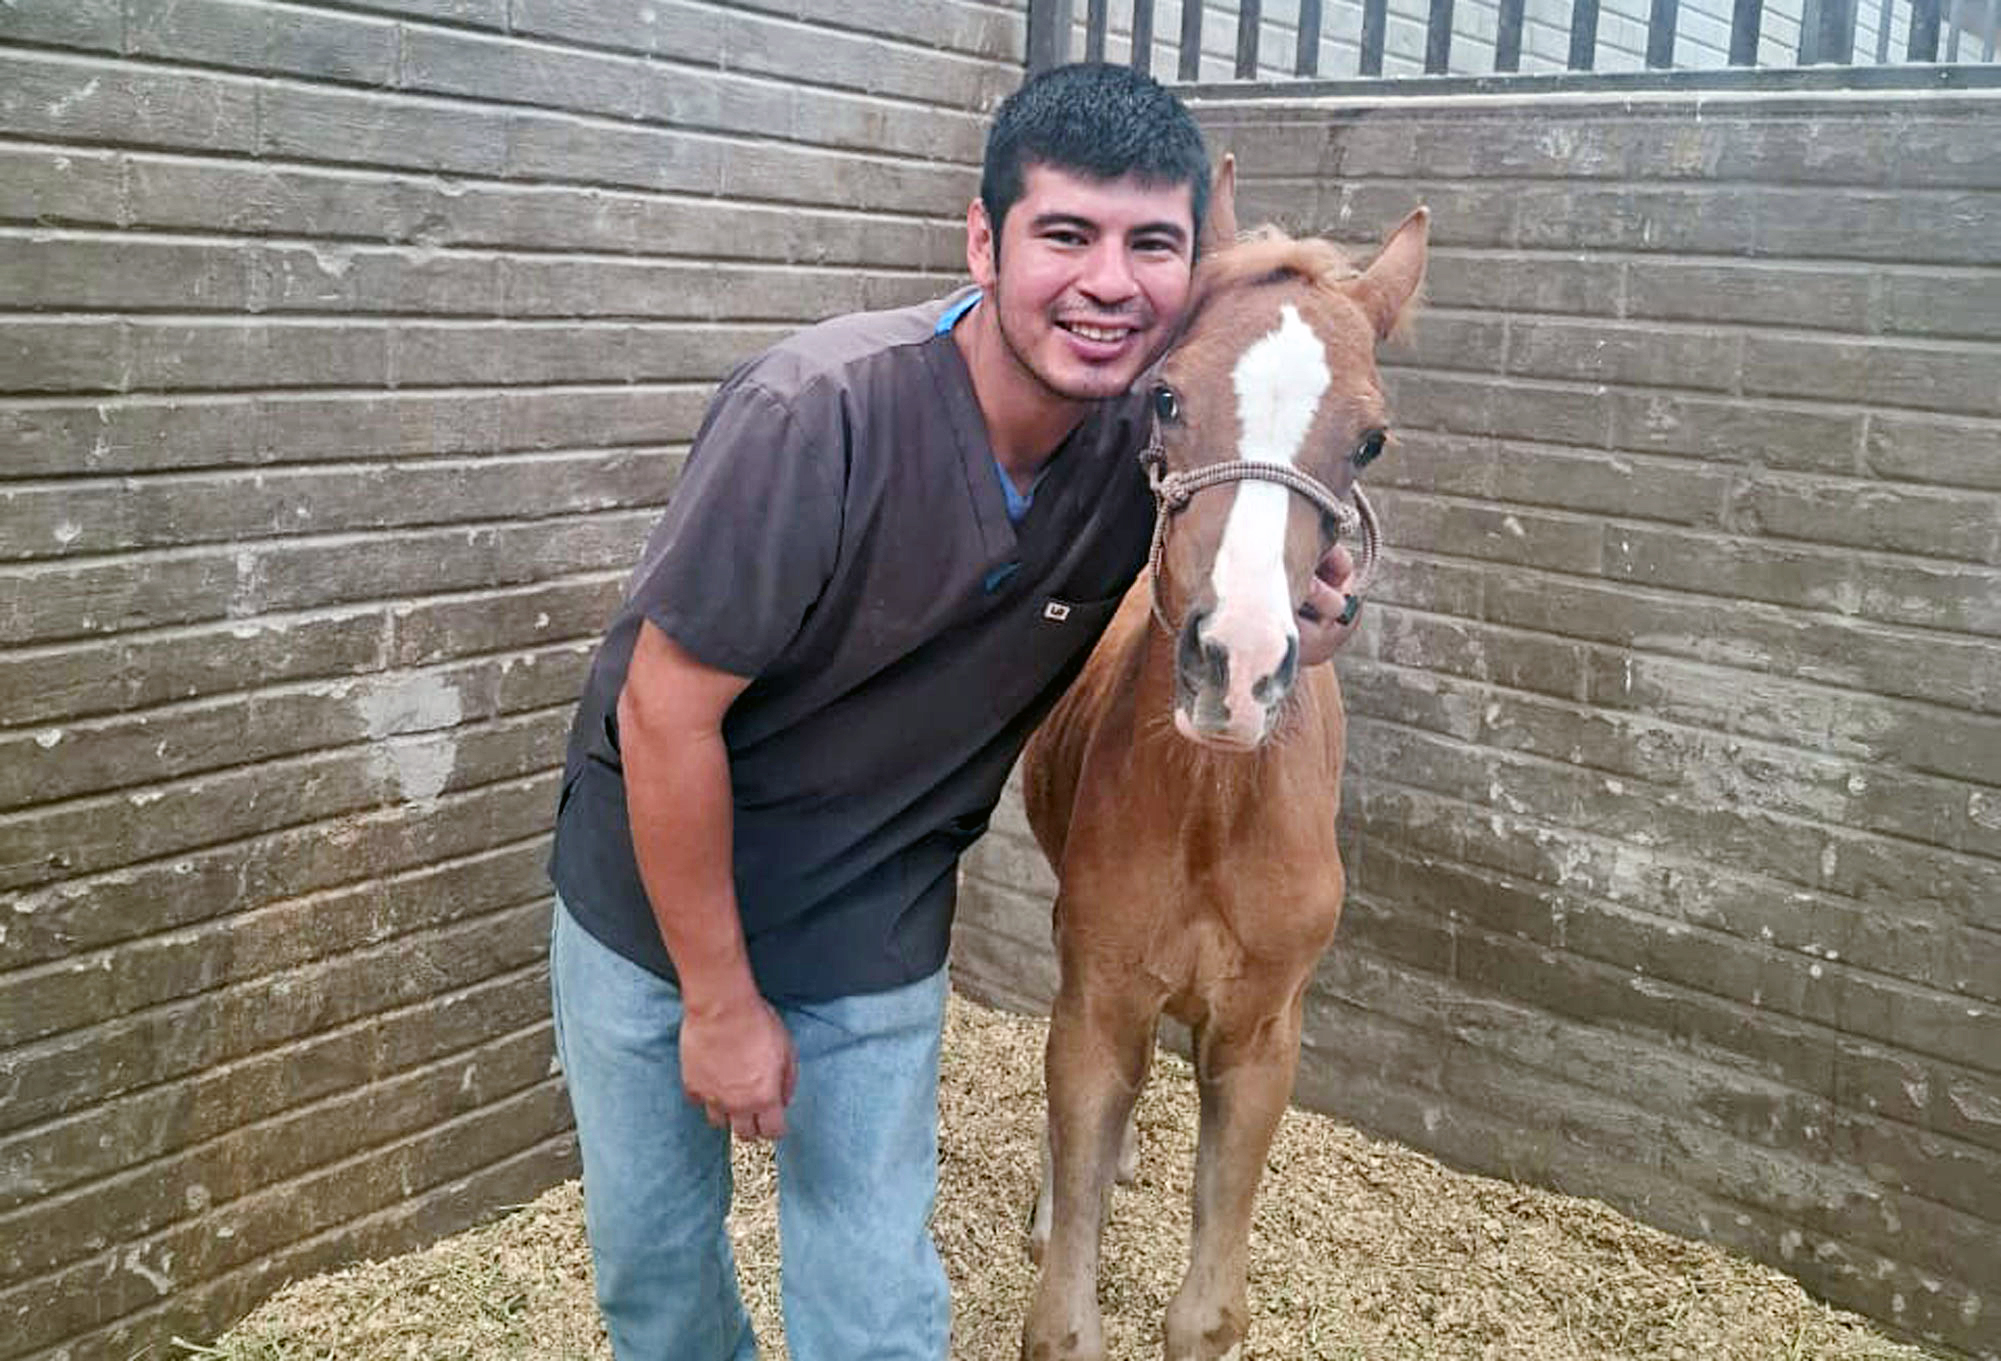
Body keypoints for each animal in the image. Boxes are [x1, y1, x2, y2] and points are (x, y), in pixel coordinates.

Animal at [1018, 160, 1428, 1361]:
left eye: (1370, 439)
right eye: (1164, 394)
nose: (1234, 668)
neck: (1215, 805)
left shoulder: (1259, 1041)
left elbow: (1208, 1312)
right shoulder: (1099, 997)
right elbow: (1063, 1317)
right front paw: (1075, 1195)